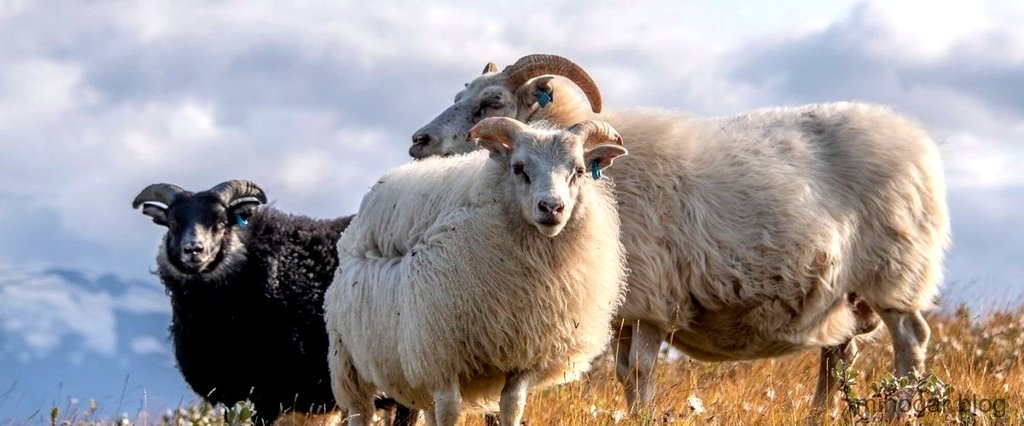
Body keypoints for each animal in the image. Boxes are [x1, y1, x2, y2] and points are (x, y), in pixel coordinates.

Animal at [325, 118, 629, 426]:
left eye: (578, 171)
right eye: (518, 167)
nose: (552, 208)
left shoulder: (524, 356)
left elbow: (512, 406)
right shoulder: (440, 359)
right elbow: (450, 412)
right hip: (348, 361)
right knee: (360, 410)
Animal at [408, 54, 951, 416]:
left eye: (491, 102)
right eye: (460, 97)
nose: (419, 140)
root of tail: (918, 141)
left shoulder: (651, 299)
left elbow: (641, 374)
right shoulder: (624, 308)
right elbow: (625, 376)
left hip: (895, 271)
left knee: (911, 345)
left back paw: (898, 411)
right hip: (844, 294)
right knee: (838, 357)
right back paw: (820, 415)